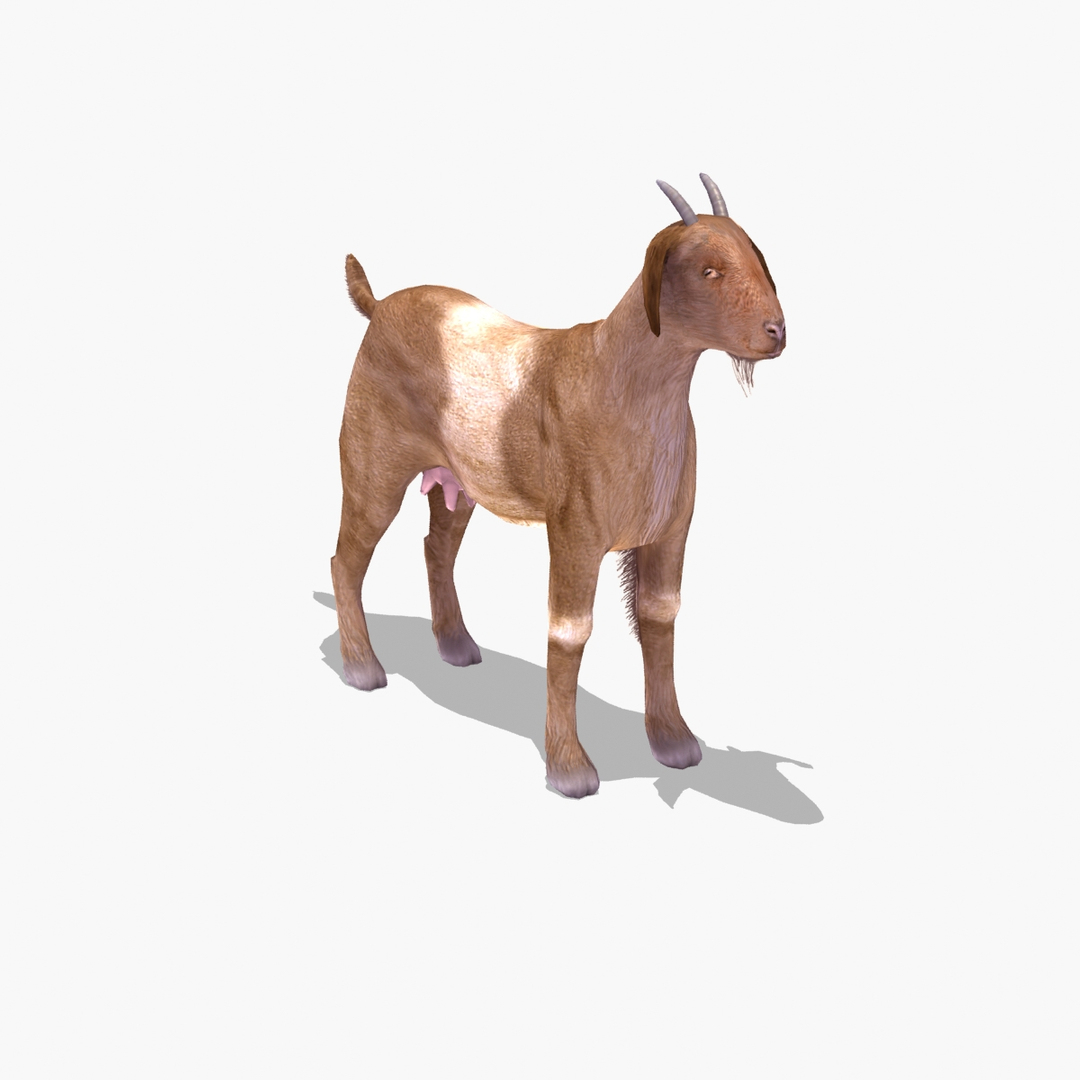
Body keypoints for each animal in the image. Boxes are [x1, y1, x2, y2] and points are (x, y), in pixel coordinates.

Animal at [331, 174, 785, 798]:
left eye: (755, 257)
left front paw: (674, 742)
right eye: (708, 269)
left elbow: (659, 616)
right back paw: (361, 667)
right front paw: (570, 769)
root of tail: (377, 307)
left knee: (436, 547)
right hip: (373, 464)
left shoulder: (671, 531)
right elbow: (569, 632)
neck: (623, 384)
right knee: (348, 555)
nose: (777, 332)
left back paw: (456, 646)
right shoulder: (575, 533)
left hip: (458, 481)